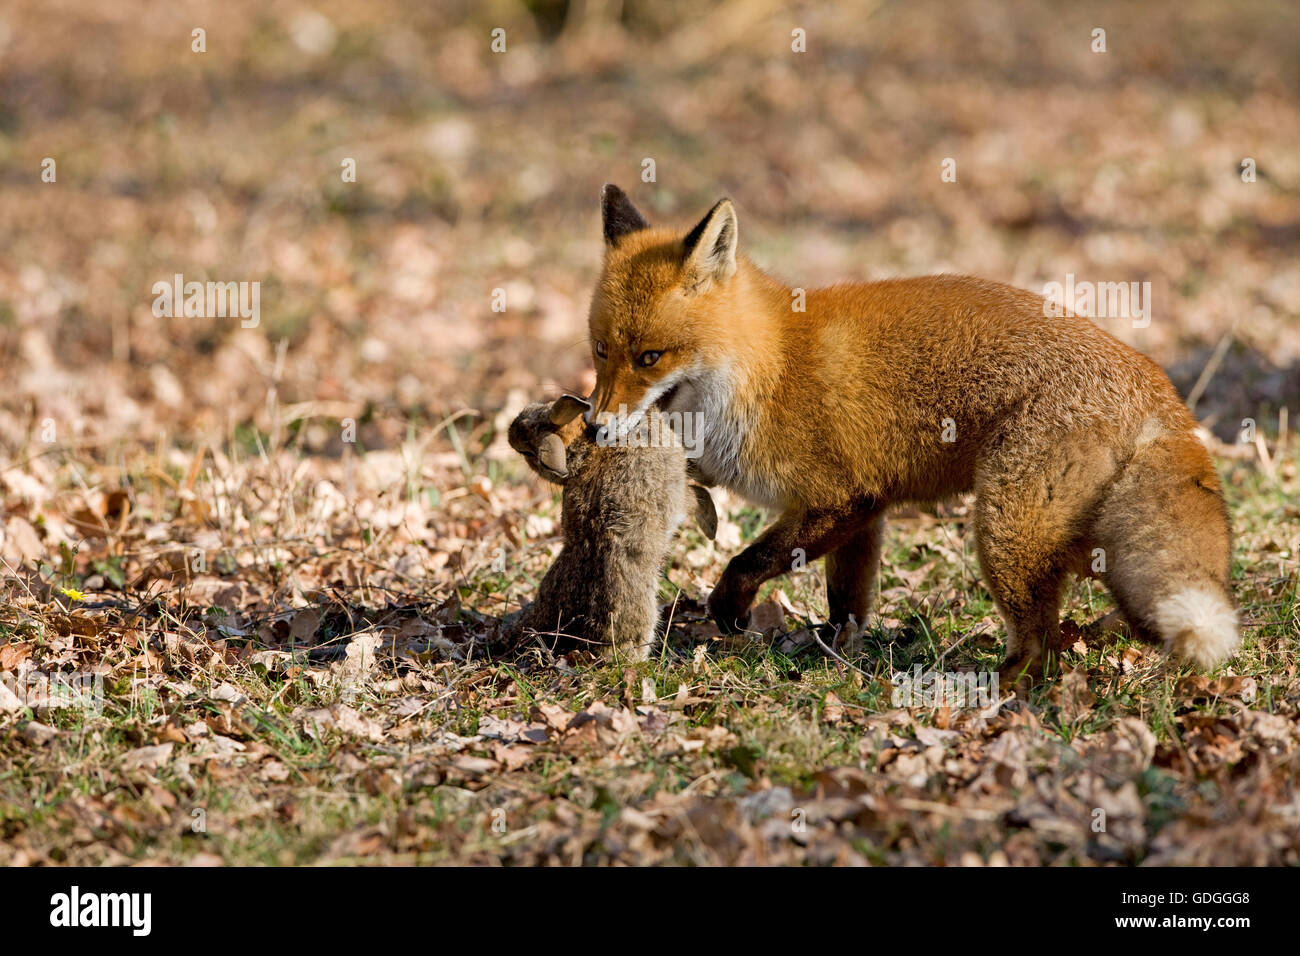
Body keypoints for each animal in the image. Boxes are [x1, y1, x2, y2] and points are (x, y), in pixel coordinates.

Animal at [502, 393, 716, 662]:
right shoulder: (675, 491)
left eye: (534, 410)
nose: (510, 434)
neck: (585, 448)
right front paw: (712, 525)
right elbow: (696, 496)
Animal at [584, 183, 1238, 685]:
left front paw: (732, 608)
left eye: (650, 357)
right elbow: (847, 604)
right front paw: (831, 653)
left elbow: (751, 560)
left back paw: (999, 689)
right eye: (600, 351)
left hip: (1004, 532)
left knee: (1041, 647)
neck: (765, 371)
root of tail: (1154, 381)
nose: (593, 427)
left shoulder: (836, 498)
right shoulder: (864, 511)